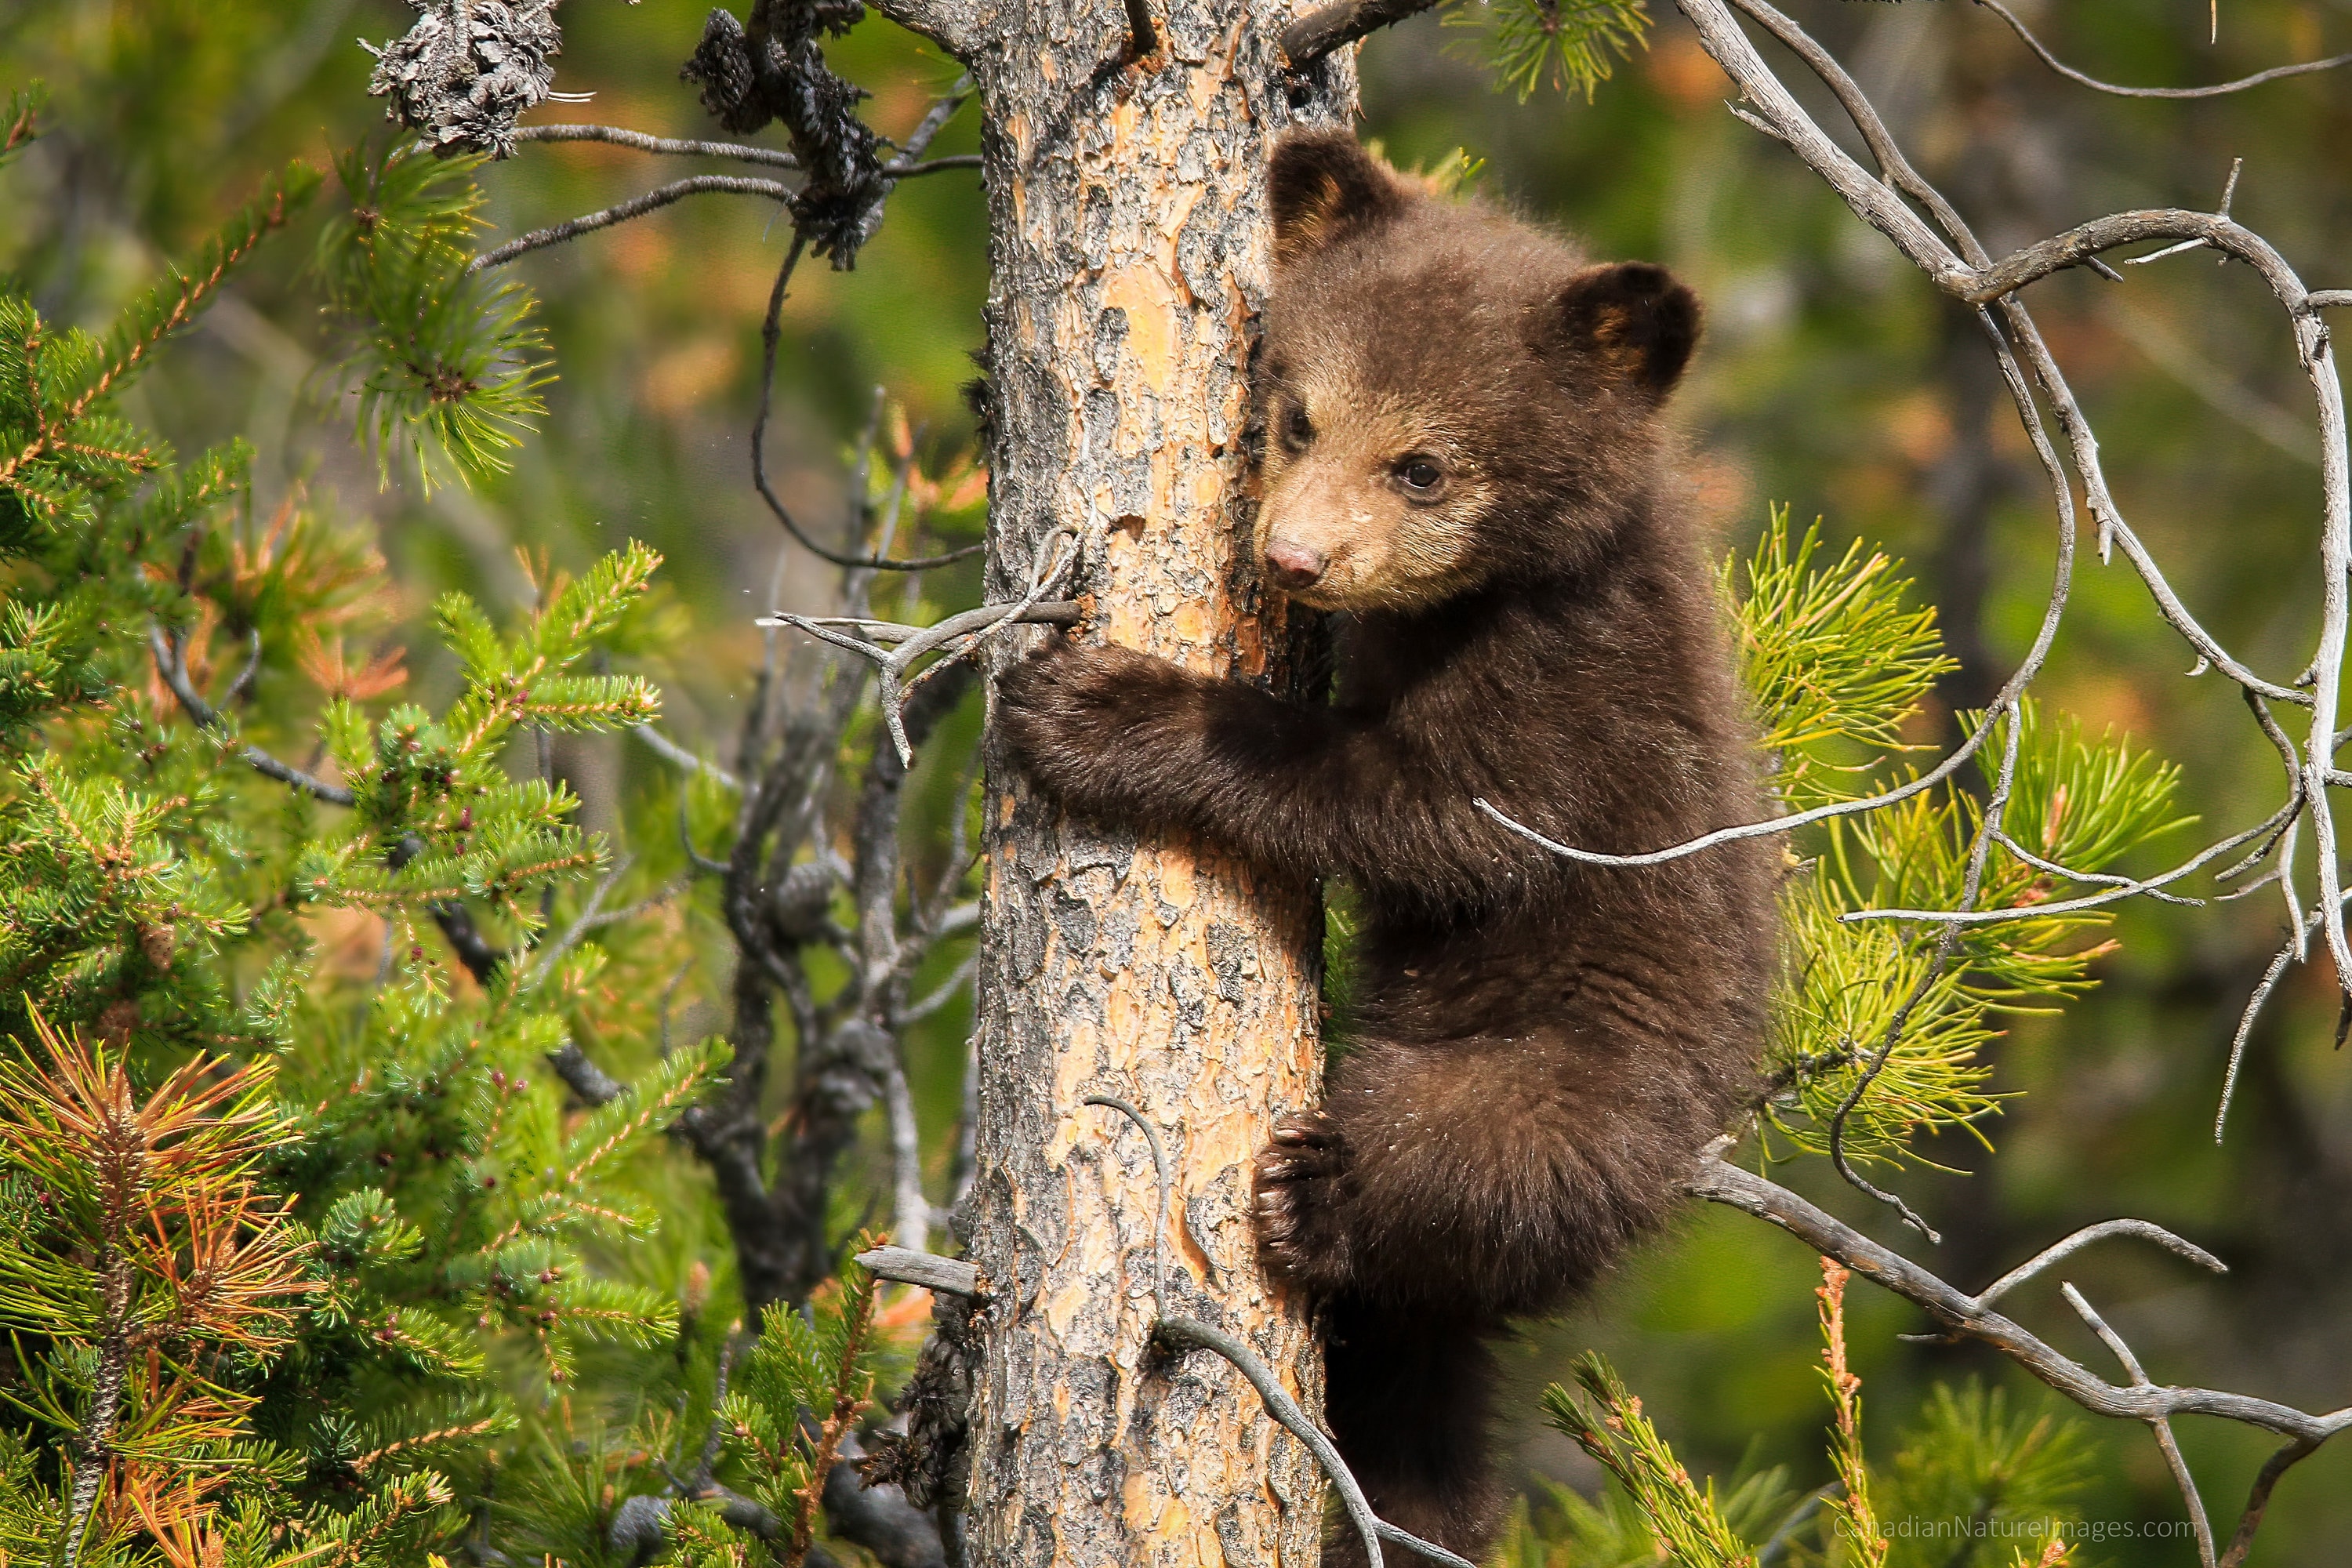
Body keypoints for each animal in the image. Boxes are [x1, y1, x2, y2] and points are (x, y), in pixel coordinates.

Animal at [994, 128, 1777, 1566]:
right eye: (1300, 415)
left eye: (1424, 464)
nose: (1297, 557)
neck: (1491, 599)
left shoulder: (1567, 707)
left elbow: (1430, 819)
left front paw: (1099, 709)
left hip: (1576, 1084)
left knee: (1480, 1175)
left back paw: (1324, 1196)